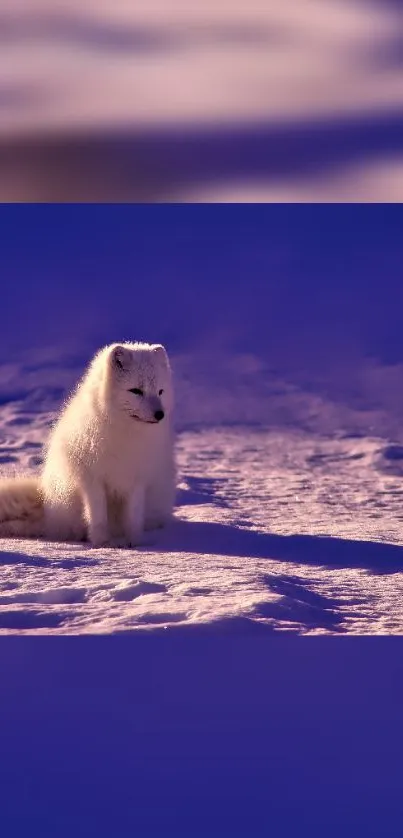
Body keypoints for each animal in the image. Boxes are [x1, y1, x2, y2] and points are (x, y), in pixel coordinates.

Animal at [0, 342, 176, 547]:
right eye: (136, 391)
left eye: (160, 391)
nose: (159, 414)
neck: (125, 434)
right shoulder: (92, 479)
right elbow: (97, 516)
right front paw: (102, 543)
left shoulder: (137, 479)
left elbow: (133, 517)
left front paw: (134, 542)